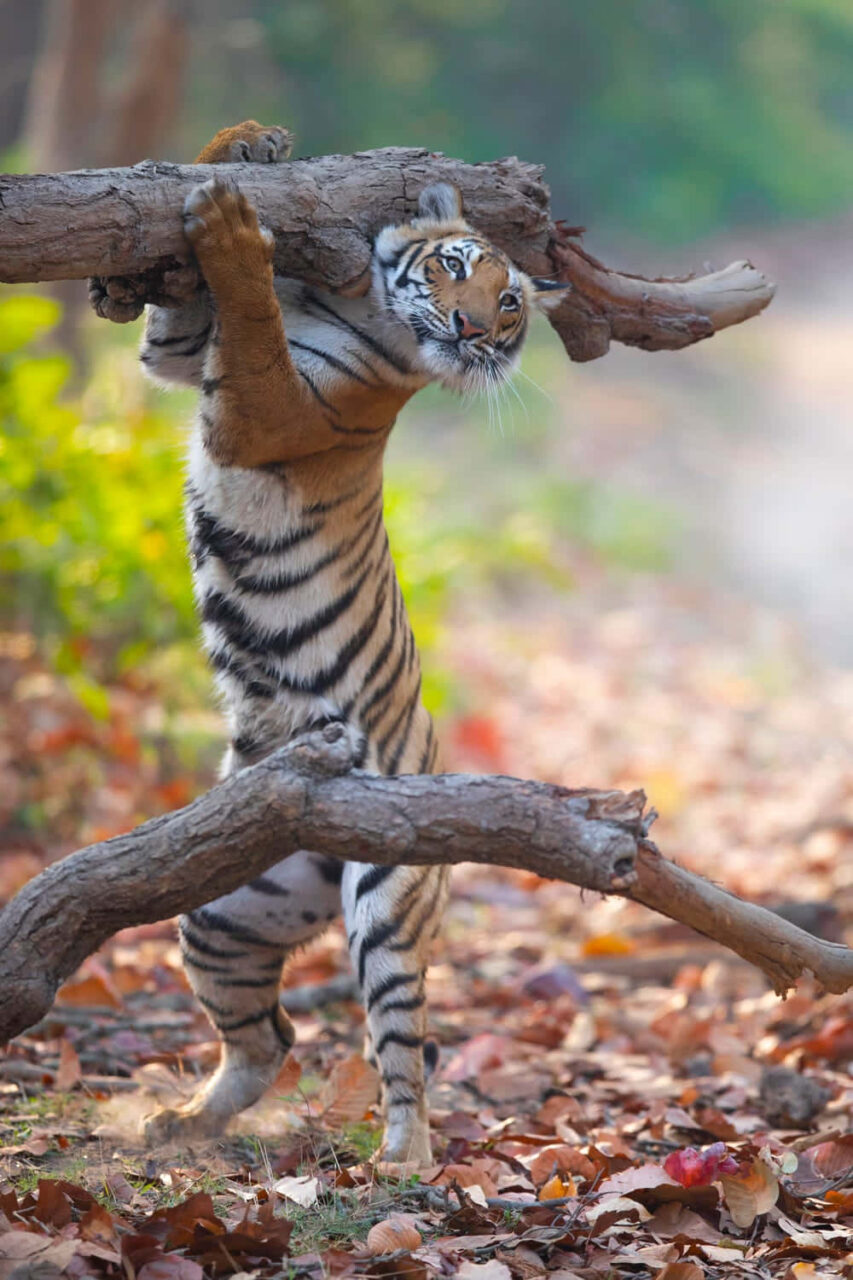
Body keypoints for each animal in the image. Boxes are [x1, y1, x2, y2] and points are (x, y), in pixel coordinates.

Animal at [110, 121, 566, 1165]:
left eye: (509, 300)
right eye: (455, 266)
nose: (474, 330)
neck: (354, 301)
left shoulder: (266, 411)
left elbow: (250, 327)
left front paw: (234, 229)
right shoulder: (178, 358)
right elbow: (178, 323)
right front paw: (242, 149)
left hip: (386, 905)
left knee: (401, 1051)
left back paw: (399, 1163)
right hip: (218, 910)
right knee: (267, 1038)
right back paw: (181, 1124)